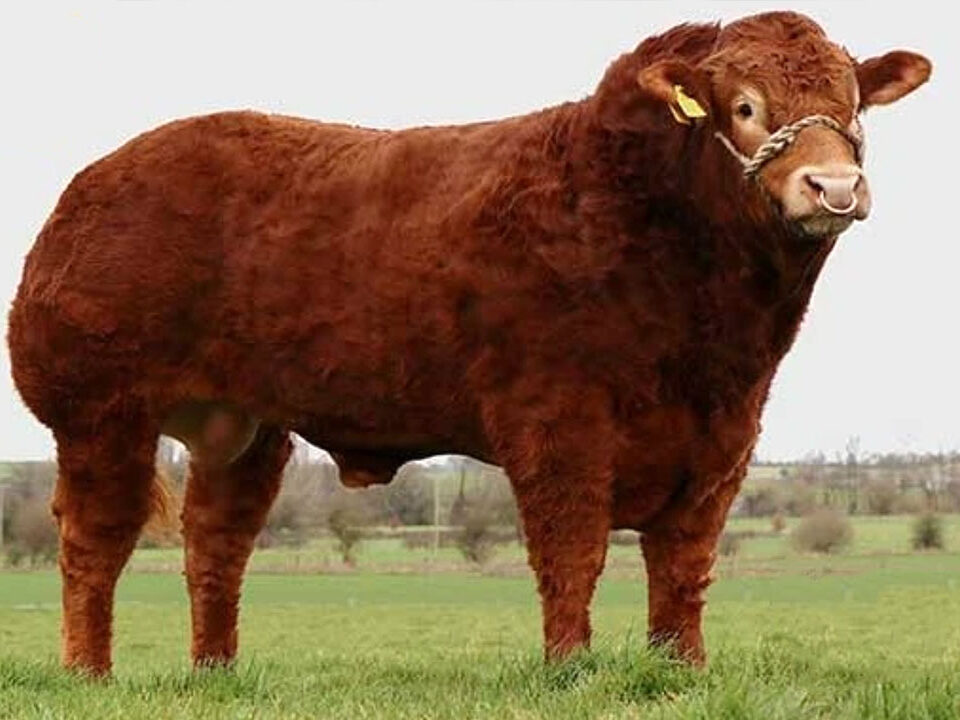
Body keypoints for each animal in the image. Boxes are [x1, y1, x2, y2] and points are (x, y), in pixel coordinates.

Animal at [7, 11, 930, 675]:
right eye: (744, 106)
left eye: (852, 106)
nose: (833, 185)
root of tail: (93, 183)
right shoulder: (556, 419)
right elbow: (572, 549)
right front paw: (571, 670)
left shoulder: (725, 437)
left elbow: (683, 566)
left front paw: (684, 670)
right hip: (101, 414)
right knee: (94, 541)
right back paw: (90, 674)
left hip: (246, 430)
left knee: (216, 543)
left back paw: (216, 673)